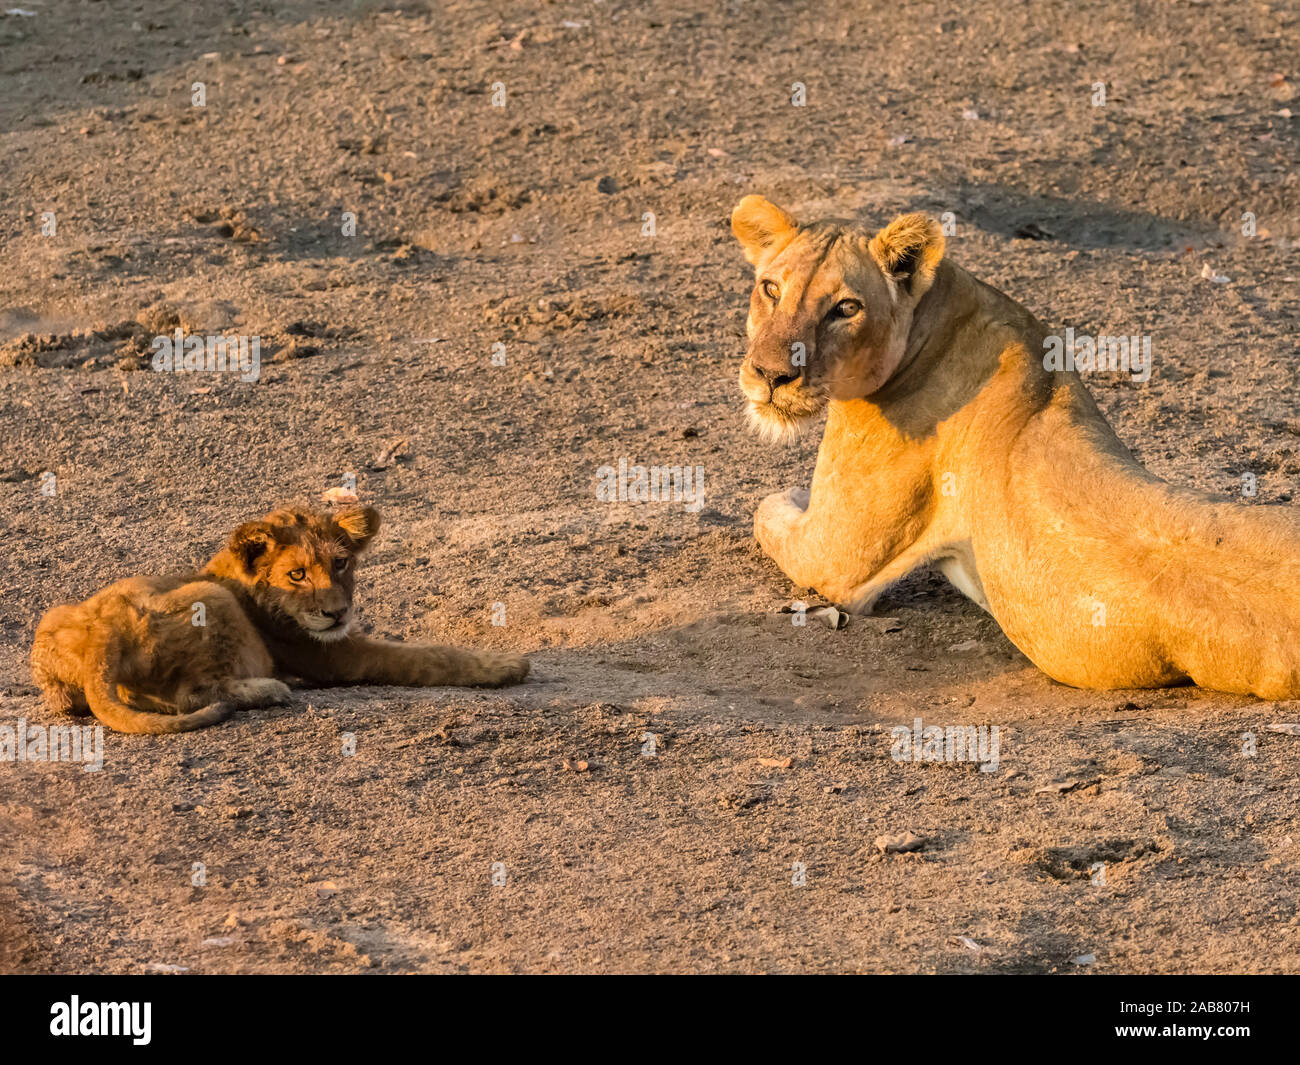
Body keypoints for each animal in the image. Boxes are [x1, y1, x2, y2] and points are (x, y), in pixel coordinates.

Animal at [30, 505, 529, 733]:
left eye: (342, 563)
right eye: (297, 574)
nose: (337, 612)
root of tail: (102, 637)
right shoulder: (331, 655)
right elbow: (427, 656)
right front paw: (506, 664)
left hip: (55, 616)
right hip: (208, 601)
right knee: (192, 694)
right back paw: (269, 690)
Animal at [732, 194, 1300, 699]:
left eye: (846, 307)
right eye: (770, 289)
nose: (770, 376)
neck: (942, 311)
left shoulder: (832, 561)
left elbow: (766, 513)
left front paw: (787, 495)